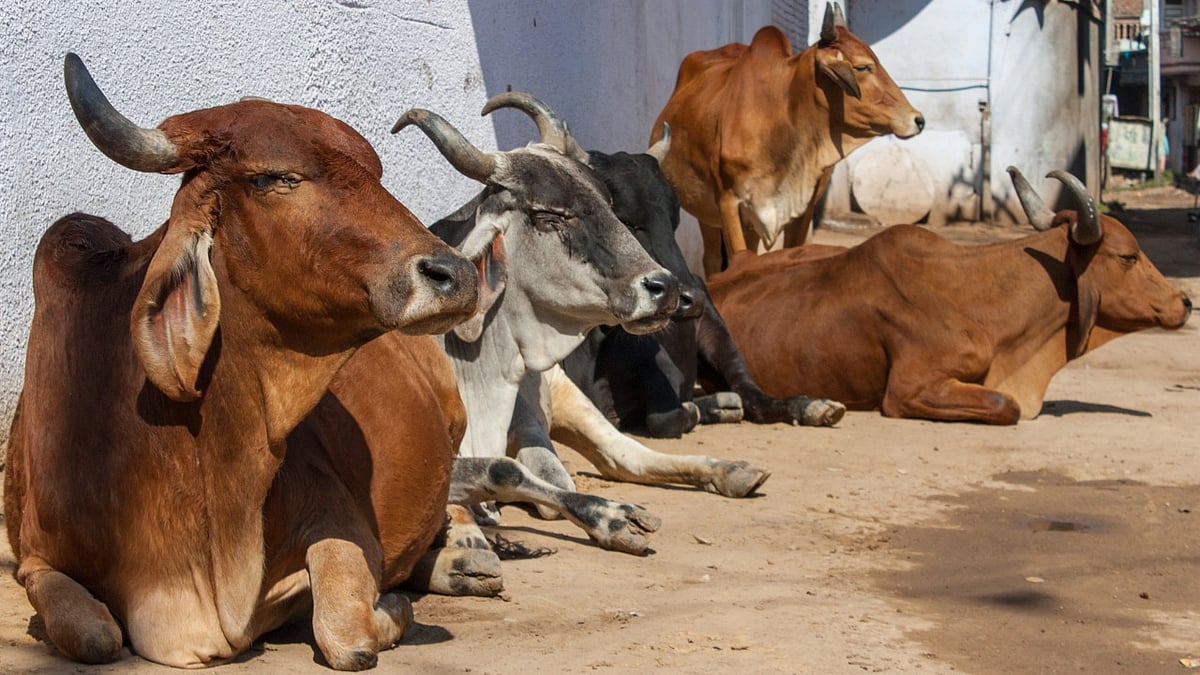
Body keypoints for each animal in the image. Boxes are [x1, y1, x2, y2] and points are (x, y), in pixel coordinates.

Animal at [3, 54, 478, 669]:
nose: (456, 274)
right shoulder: (36, 557)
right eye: (273, 177)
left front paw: (390, 609)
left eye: (377, 175)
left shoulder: (342, 521)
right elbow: (93, 635)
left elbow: (347, 635)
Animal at [391, 94, 771, 596]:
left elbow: (538, 478)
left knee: (630, 458)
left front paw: (614, 516)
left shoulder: (531, 421)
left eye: (609, 207)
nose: (667, 288)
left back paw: (725, 468)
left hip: (571, 399)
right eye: (550, 215)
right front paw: (465, 540)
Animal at [559, 124, 846, 438]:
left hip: (719, 337)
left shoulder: (664, 369)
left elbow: (664, 419)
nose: (690, 298)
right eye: (624, 219)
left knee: (752, 397)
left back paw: (810, 407)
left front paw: (698, 410)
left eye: (674, 221)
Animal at [653, 2, 925, 274]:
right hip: (706, 212)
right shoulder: (728, 202)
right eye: (863, 66)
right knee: (711, 260)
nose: (918, 120)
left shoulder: (803, 207)